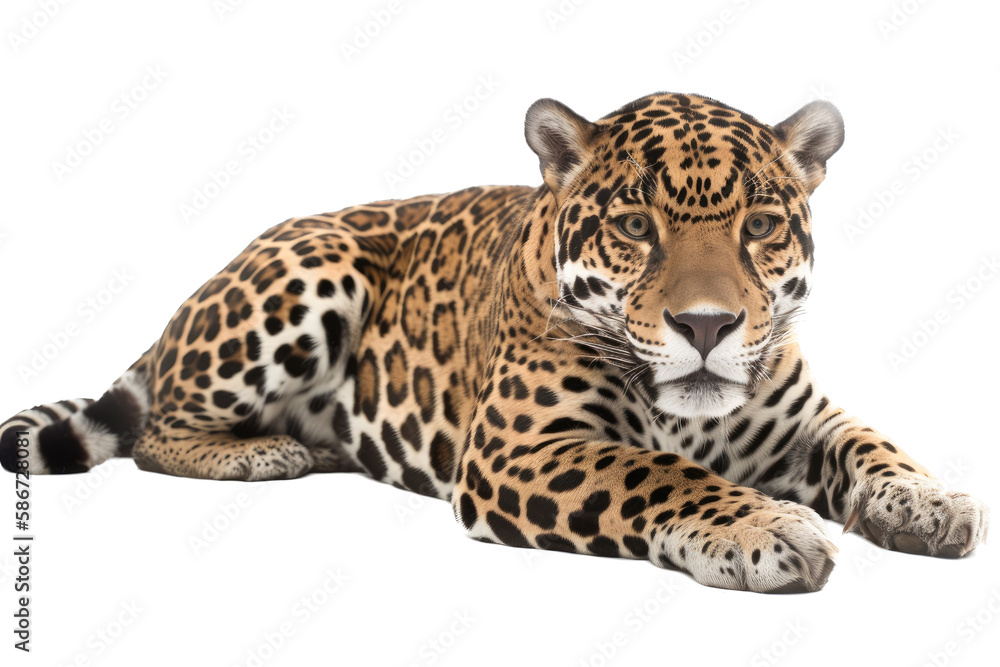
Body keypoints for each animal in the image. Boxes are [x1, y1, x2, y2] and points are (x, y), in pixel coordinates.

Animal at [1, 92, 989, 593]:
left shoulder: (799, 419)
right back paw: (264, 452)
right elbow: (658, 470)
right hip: (311, 269)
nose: (706, 326)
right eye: (636, 226)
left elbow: (872, 442)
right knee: (155, 426)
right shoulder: (521, 445)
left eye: (760, 226)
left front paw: (929, 501)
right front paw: (764, 527)